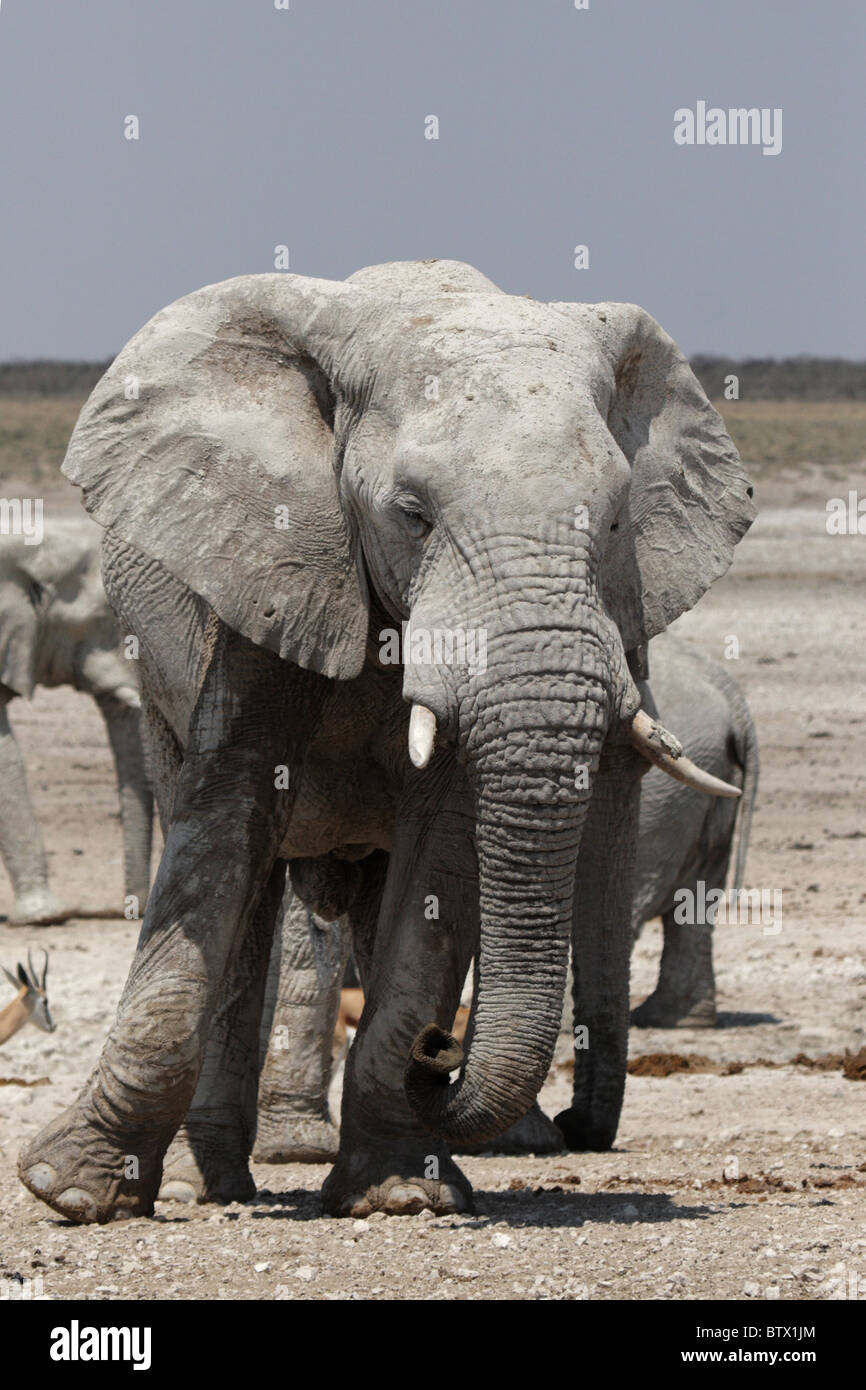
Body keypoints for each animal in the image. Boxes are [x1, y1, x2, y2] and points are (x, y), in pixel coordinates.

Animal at [18, 258, 754, 1224]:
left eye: (615, 518)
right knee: (246, 886)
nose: (442, 1051)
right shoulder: (275, 564)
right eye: (412, 512)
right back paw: (203, 1184)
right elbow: (228, 820)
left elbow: (441, 859)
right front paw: (70, 1191)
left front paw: (401, 1194)